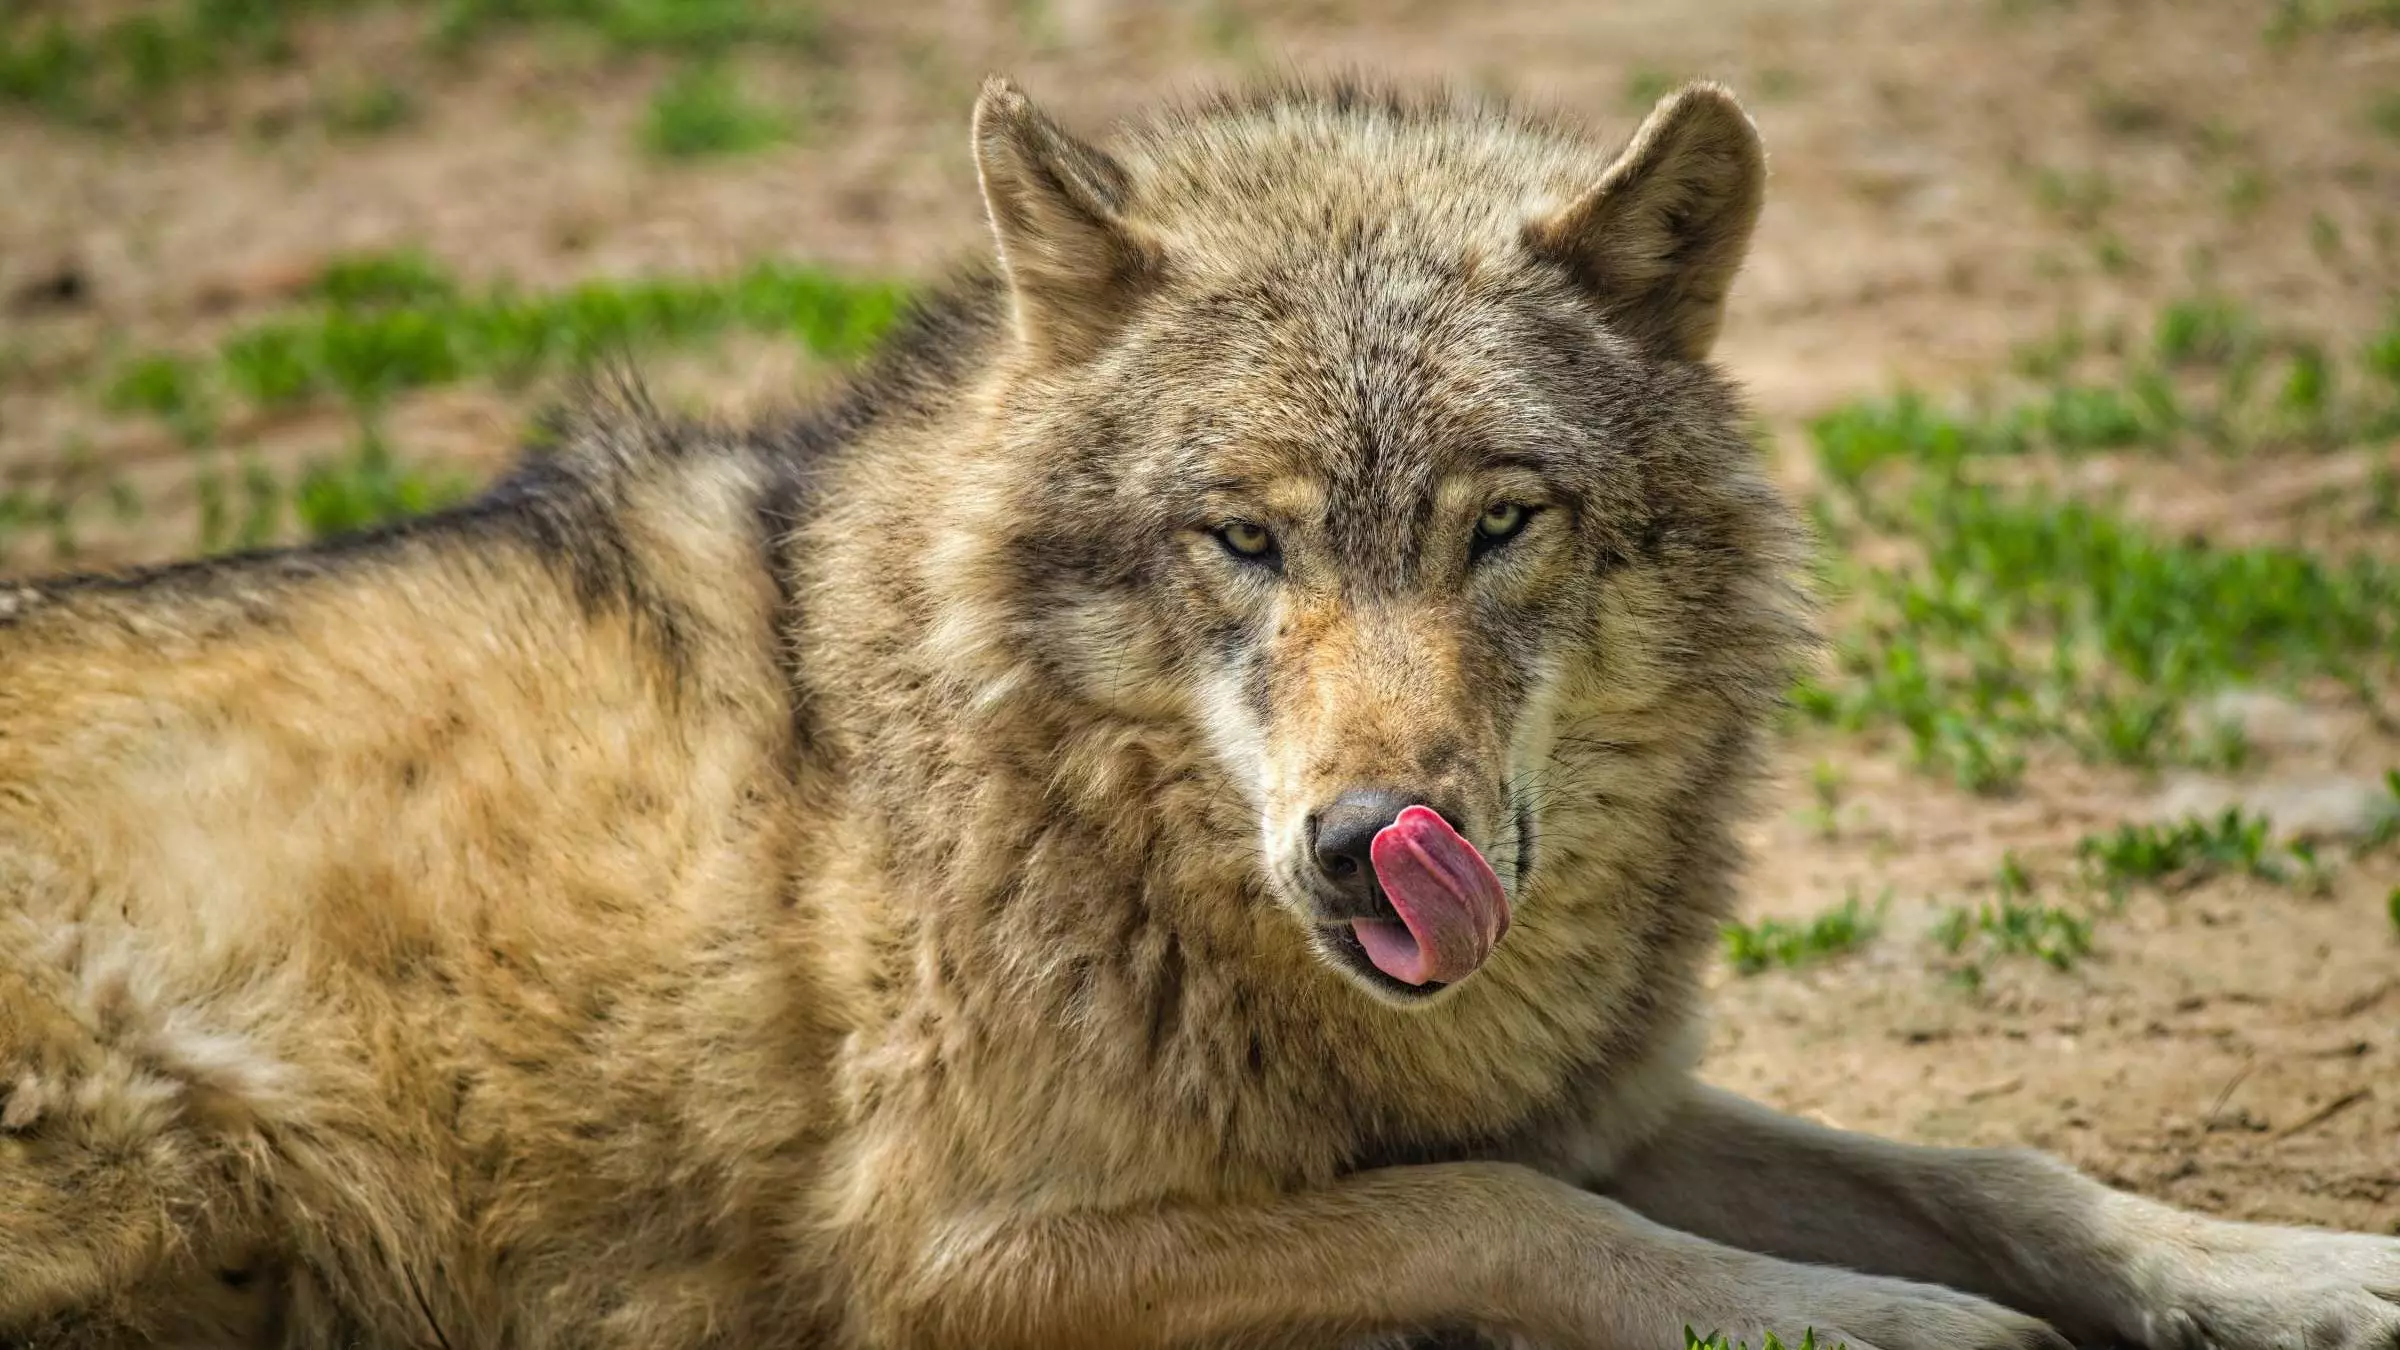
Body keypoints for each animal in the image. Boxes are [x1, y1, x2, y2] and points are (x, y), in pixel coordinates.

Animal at [4, 73, 2400, 1345]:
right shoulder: (960, 1261)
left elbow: (2005, 1167)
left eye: (1500, 523)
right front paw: (1890, 1330)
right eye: (1241, 540)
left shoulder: (1591, 1096)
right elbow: (1524, 1221)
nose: (1366, 843)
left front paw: (2294, 1269)